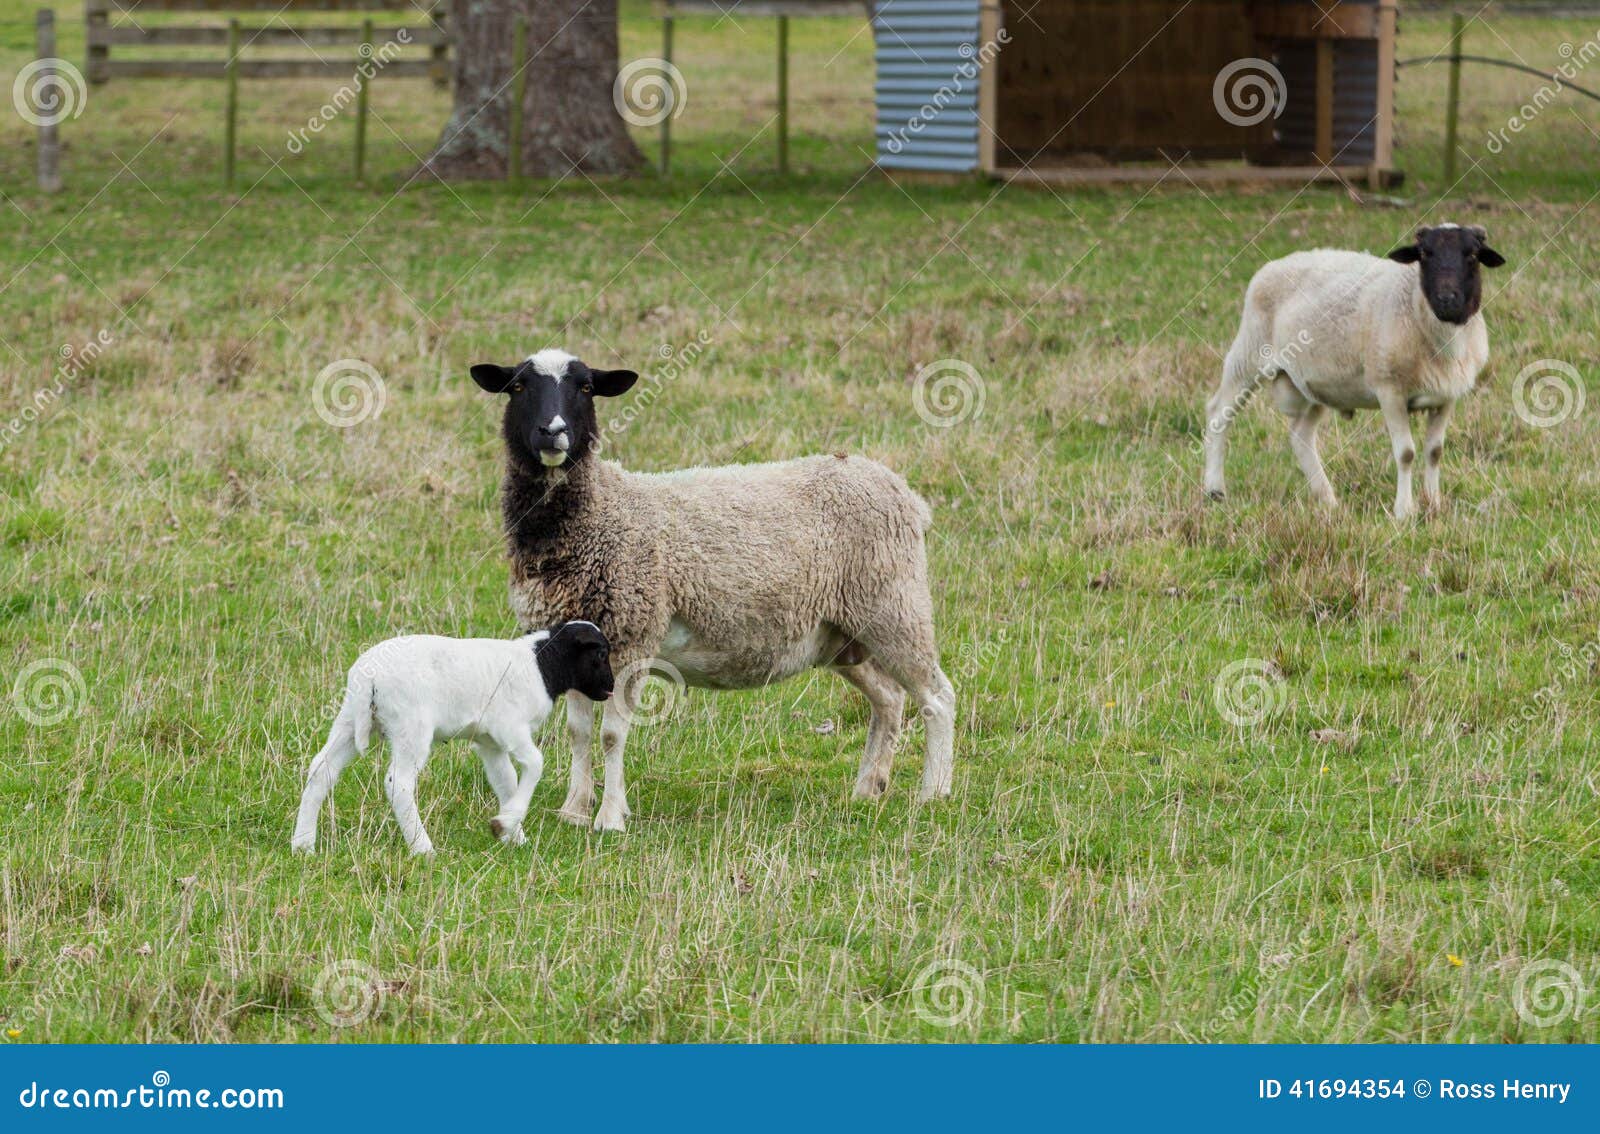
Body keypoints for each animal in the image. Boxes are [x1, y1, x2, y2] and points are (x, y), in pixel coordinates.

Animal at [290, 620, 614, 855]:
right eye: (600, 654)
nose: (611, 688)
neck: (543, 666)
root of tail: (370, 677)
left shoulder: (489, 743)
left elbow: (506, 781)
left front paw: (512, 835)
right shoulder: (509, 728)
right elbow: (535, 764)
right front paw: (507, 823)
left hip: (349, 721)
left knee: (321, 769)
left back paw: (303, 843)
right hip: (411, 728)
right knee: (398, 783)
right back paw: (423, 848)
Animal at [469, 348, 956, 832]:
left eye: (586, 388)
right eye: (518, 386)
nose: (553, 432)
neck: (600, 512)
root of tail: (906, 493)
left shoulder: (632, 633)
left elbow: (610, 734)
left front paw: (608, 818)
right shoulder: (576, 642)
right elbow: (579, 731)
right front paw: (574, 810)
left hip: (894, 605)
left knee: (937, 698)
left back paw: (933, 794)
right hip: (841, 634)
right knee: (889, 700)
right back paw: (868, 789)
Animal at [1203, 223, 1506, 519]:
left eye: (1472, 255)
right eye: (1424, 254)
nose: (1446, 299)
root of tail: (1275, 264)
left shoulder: (1447, 397)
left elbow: (1435, 451)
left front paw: (1433, 505)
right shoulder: (1389, 390)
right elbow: (1406, 453)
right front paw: (1404, 512)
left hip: (1314, 385)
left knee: (1301, 436)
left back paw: (1327, 499)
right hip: (1249, 355)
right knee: (1219, 413)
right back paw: (1215, 490)